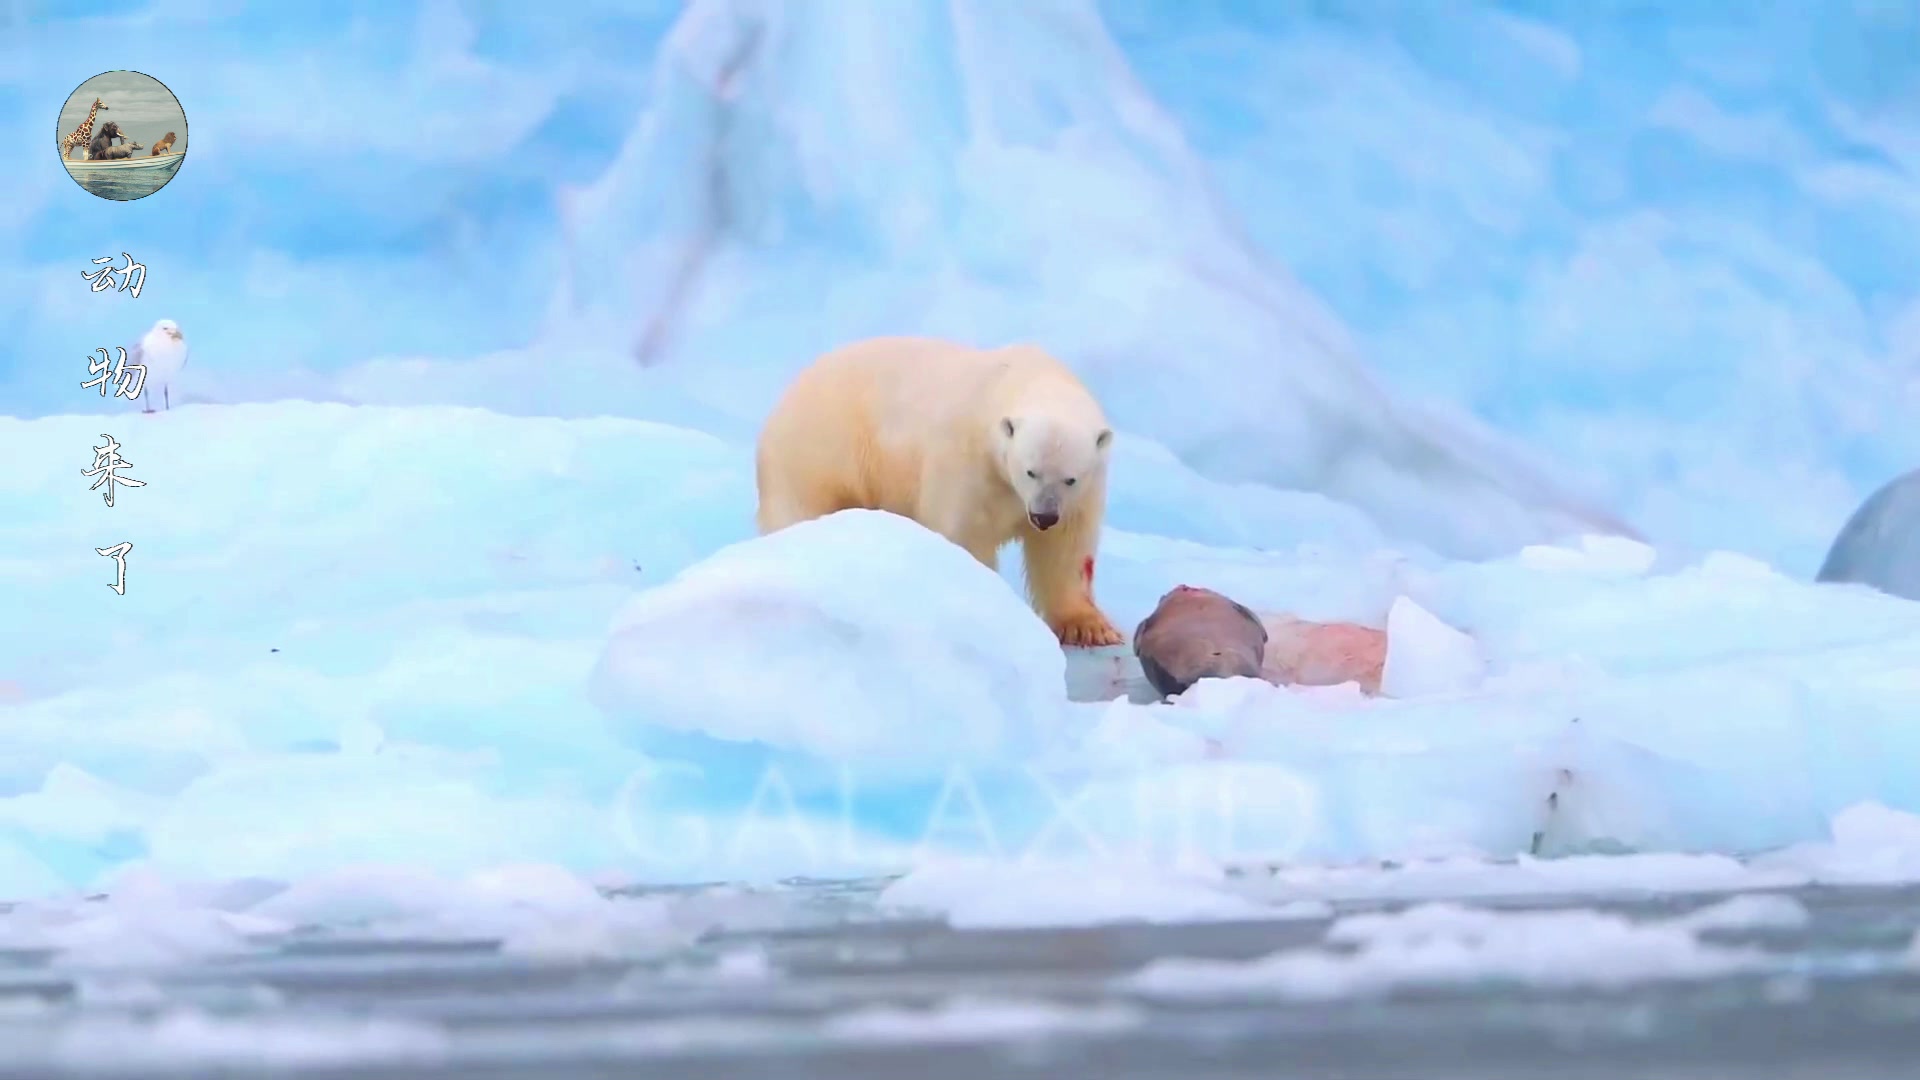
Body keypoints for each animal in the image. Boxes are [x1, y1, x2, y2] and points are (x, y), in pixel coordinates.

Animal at [755, 335, 1124, 647]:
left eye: (1070, 478)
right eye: (1030, 471)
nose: (1043, 516)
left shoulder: (1084, 492)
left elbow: (1066, 548)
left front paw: (1090, 627)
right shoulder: (966, 463)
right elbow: (965, 534)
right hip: (819, 451)